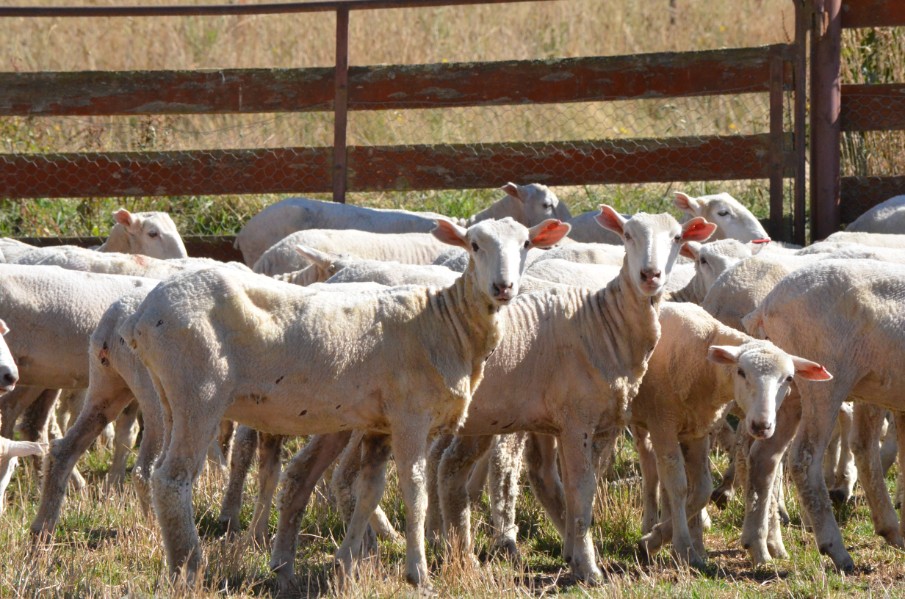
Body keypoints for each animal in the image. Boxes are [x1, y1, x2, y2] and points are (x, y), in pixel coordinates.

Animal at [118, 217, 570, 588]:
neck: (445, 321)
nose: (503, 288)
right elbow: (415, 490)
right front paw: (418, 573)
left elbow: (369, 490)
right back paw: (188, 568)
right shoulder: (410, 417)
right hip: (199, 394)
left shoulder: (378, 425)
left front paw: (347, 564)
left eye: (526, 244)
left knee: (160, 473)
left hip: (169, 397)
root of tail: (143, 315)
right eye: (474, 245)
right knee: (172, 480)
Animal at [743, 259, 905, 572]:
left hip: (787, 387)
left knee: (764, 456)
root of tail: (768, 304)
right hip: (826, 379)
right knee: (804, 459)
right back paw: (836, 550)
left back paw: (759, 547)